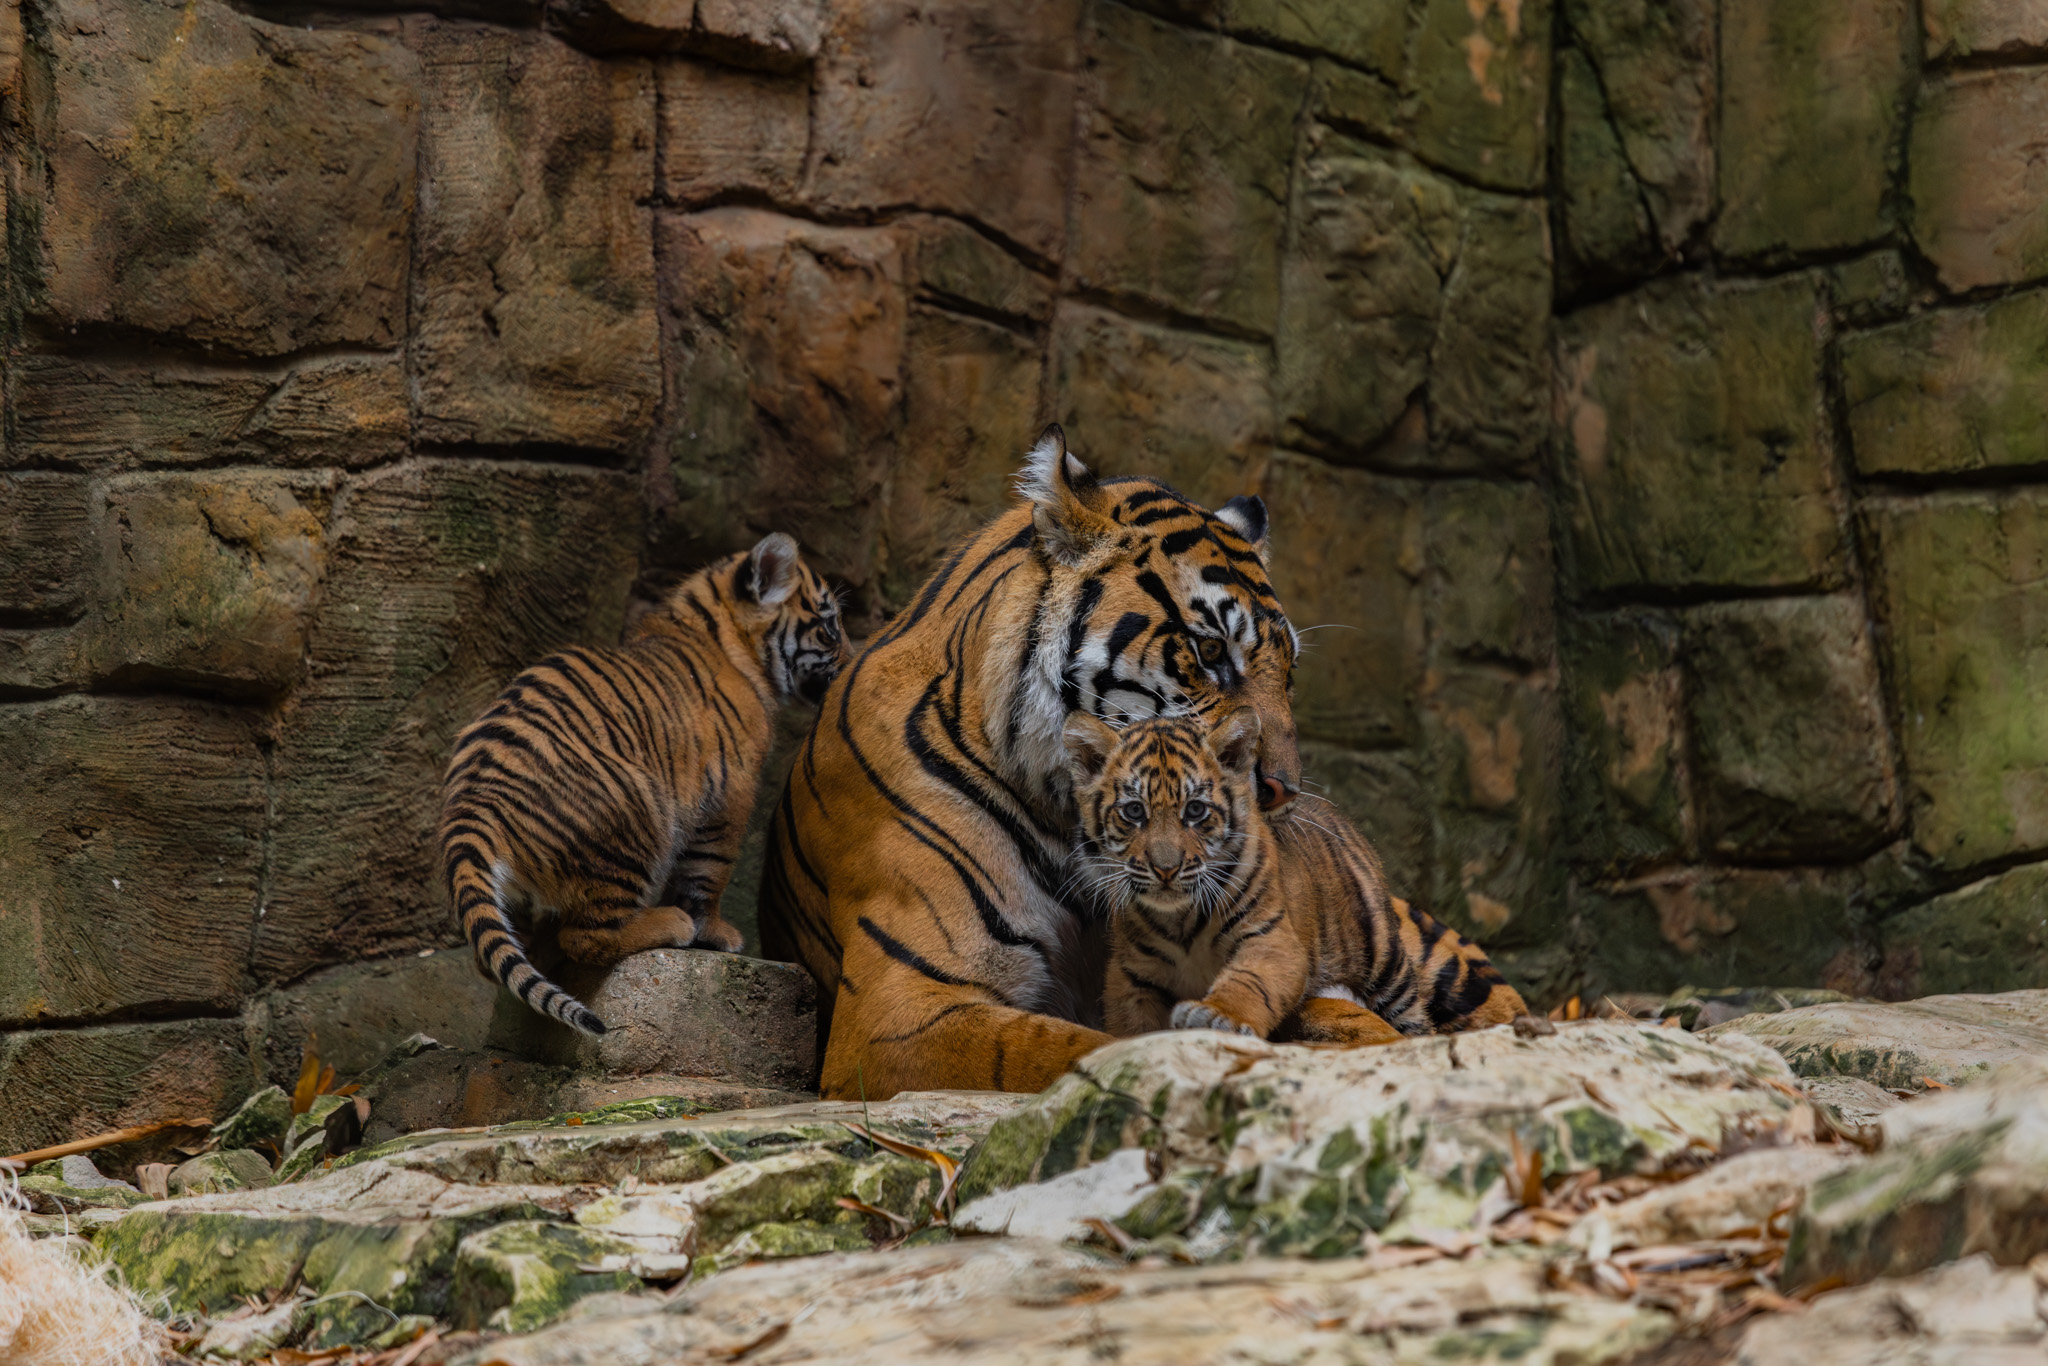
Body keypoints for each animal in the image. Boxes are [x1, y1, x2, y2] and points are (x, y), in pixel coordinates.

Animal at [440, 532, 850, 1035]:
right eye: (829, 627)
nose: (852, 662)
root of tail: (469, 806)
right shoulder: (729, 792)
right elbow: (708, 870)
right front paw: (713, 930)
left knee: (504, 956)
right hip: (639, 813)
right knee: (588, 935)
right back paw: (670, 923)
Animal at [1064, 709, 1528, 1045]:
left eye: (1195, 810)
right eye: (1133, 811)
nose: (1165, 868)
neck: (1178, 918)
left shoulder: (1271, 938)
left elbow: (1251, 981)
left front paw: (1217, 1016)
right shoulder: (1132, 973)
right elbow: (1131, 1024)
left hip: (1385, 962)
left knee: (1410, 1015)